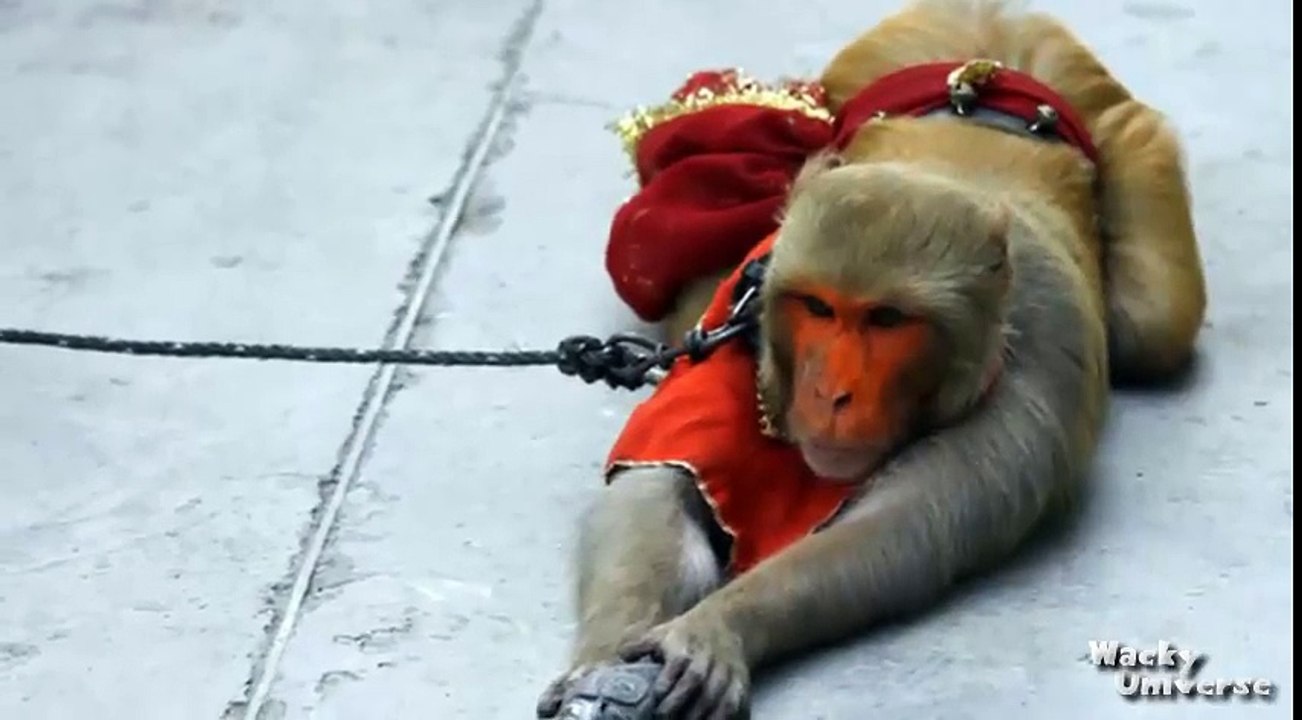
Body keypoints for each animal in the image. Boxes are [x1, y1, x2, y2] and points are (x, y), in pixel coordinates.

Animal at [537, 2, 1208, 718]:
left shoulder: (1037, 369)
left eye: (886, 320)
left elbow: (903, 532)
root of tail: (988, 47)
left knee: (1153, 322)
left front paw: (718, 628)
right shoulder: (745, 320)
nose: (832, 394)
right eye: (818, 308)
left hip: (1112, 122)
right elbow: (662, 481)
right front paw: (603, 657)